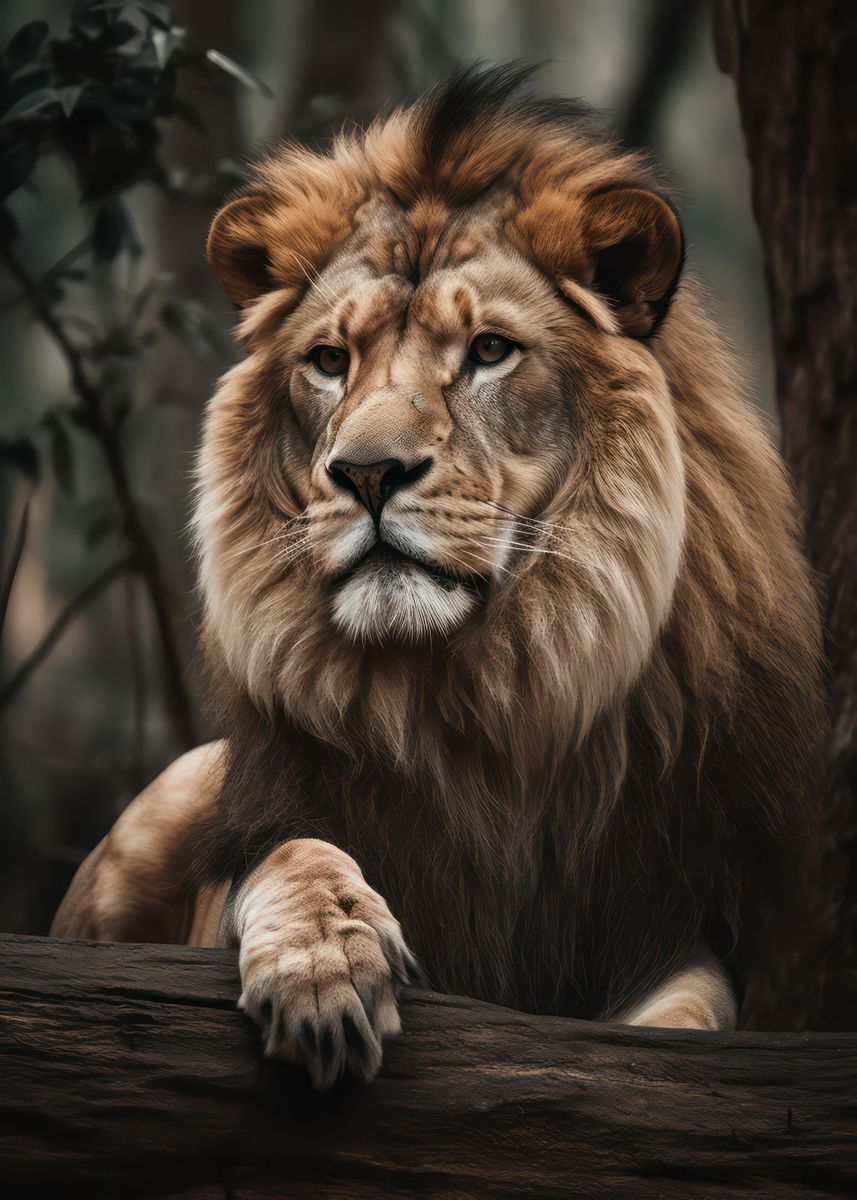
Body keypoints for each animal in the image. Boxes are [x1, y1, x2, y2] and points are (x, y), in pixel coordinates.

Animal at [53, 65, 825, 1090]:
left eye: (489, 350)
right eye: (329, 361)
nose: (368, 473)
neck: (477, 700)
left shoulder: (673, 917)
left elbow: (689, 1022)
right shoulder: (258, 838)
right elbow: (293, 853)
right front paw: (324, 968)